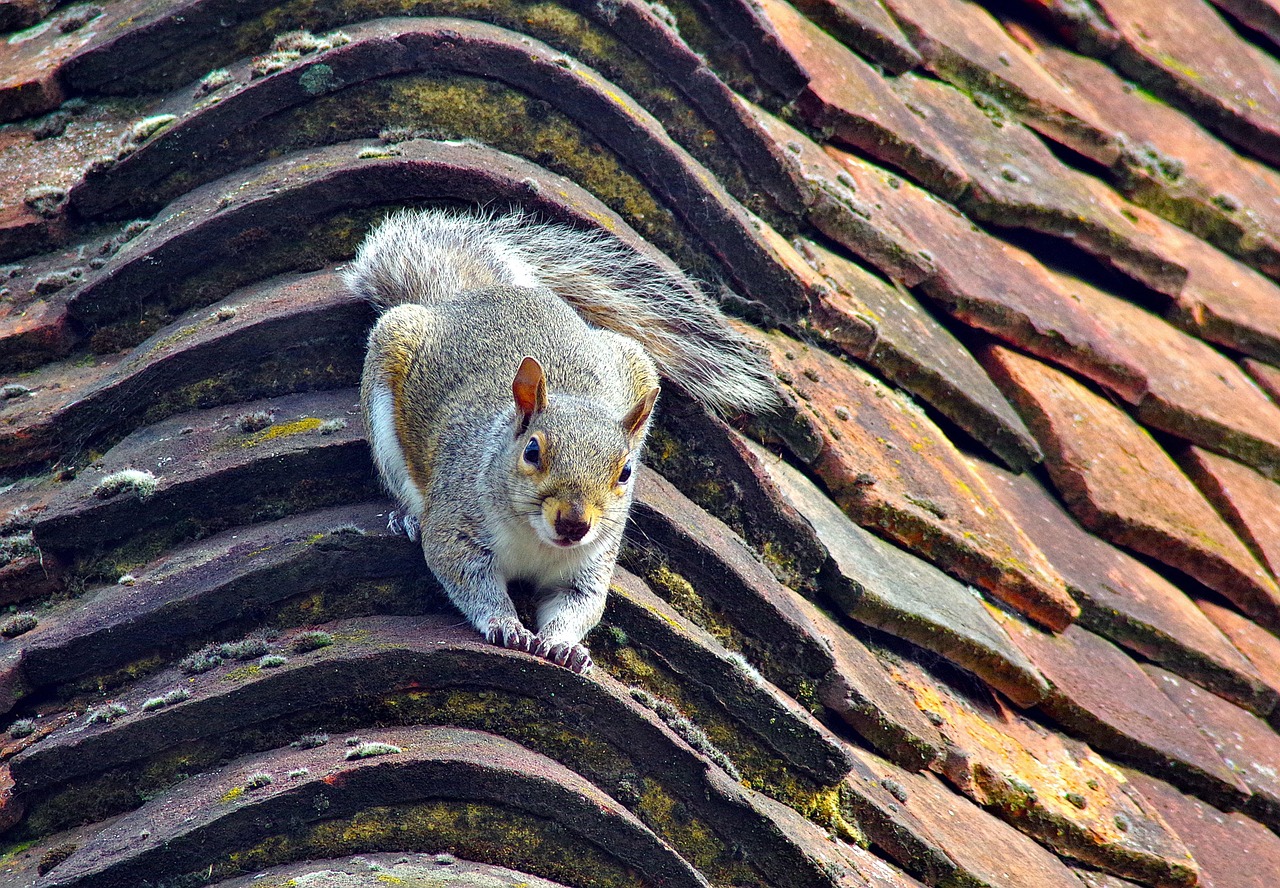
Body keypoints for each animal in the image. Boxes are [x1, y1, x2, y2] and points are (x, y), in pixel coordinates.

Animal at [346, 208, 776, 673]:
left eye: (626, 471)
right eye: (532, 451)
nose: (574, 523)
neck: (536, 539)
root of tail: (480, 293)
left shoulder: (588, 565)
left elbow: (577, 605)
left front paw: (563, 645)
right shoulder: (457, 526)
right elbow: (468, 578)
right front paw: (506, 624)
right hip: (390, 361)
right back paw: (408, 516)